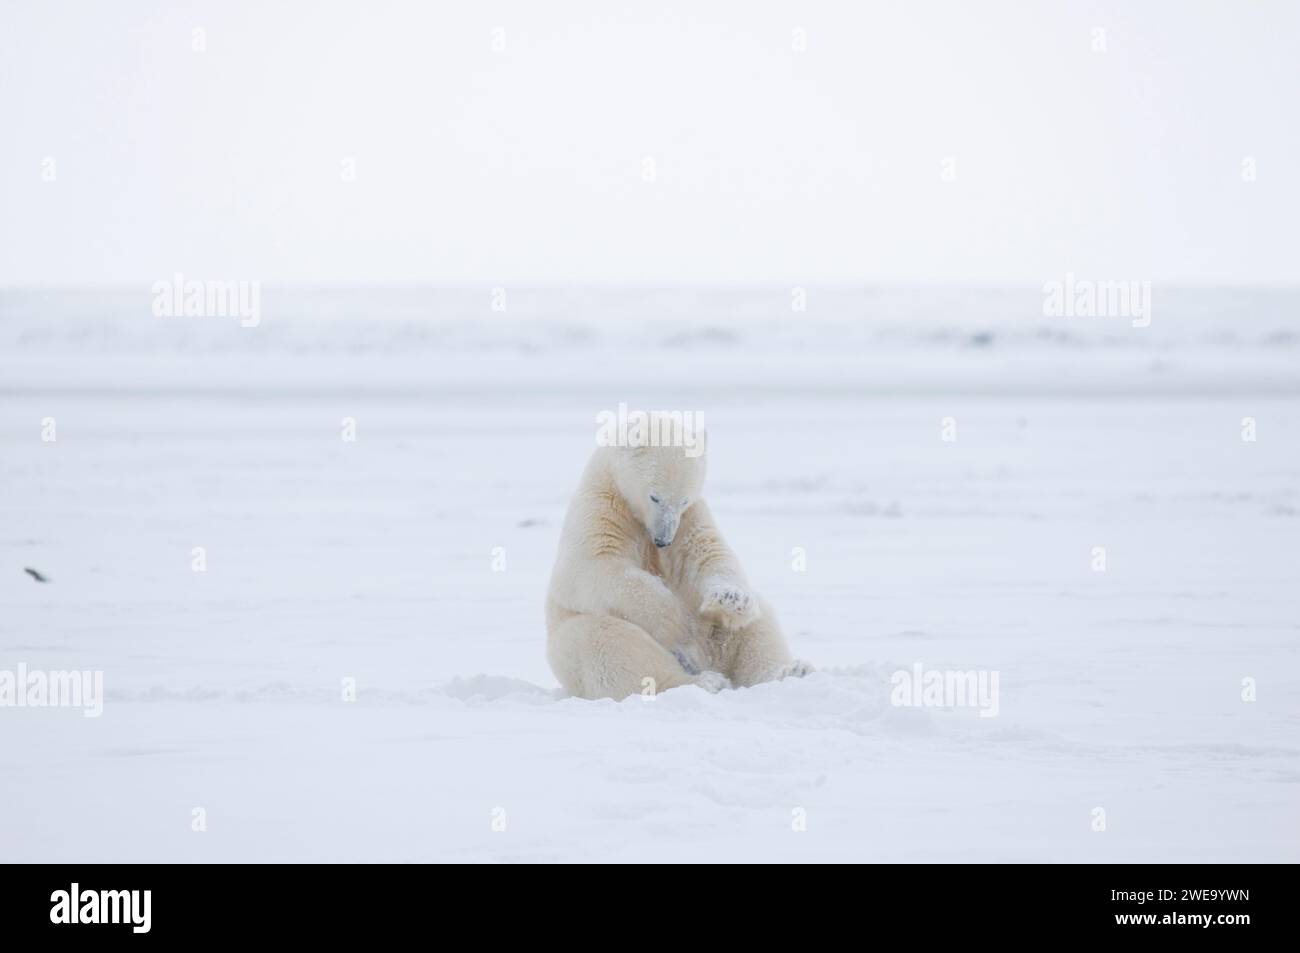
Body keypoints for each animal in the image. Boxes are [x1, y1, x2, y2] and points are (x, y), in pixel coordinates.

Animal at [546, 440, 812, 700]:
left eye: (684, 499)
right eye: (654, 497)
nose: (663, 540)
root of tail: (704, 659)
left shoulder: (690, 517)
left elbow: (708, 553)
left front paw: (730, 598)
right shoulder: (599, 507)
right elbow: (588, 566)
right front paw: (675, 621)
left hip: (712, 631)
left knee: (756, 625)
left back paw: (791, 671)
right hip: (573, 644)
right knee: (608, 643)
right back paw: (705, 681)